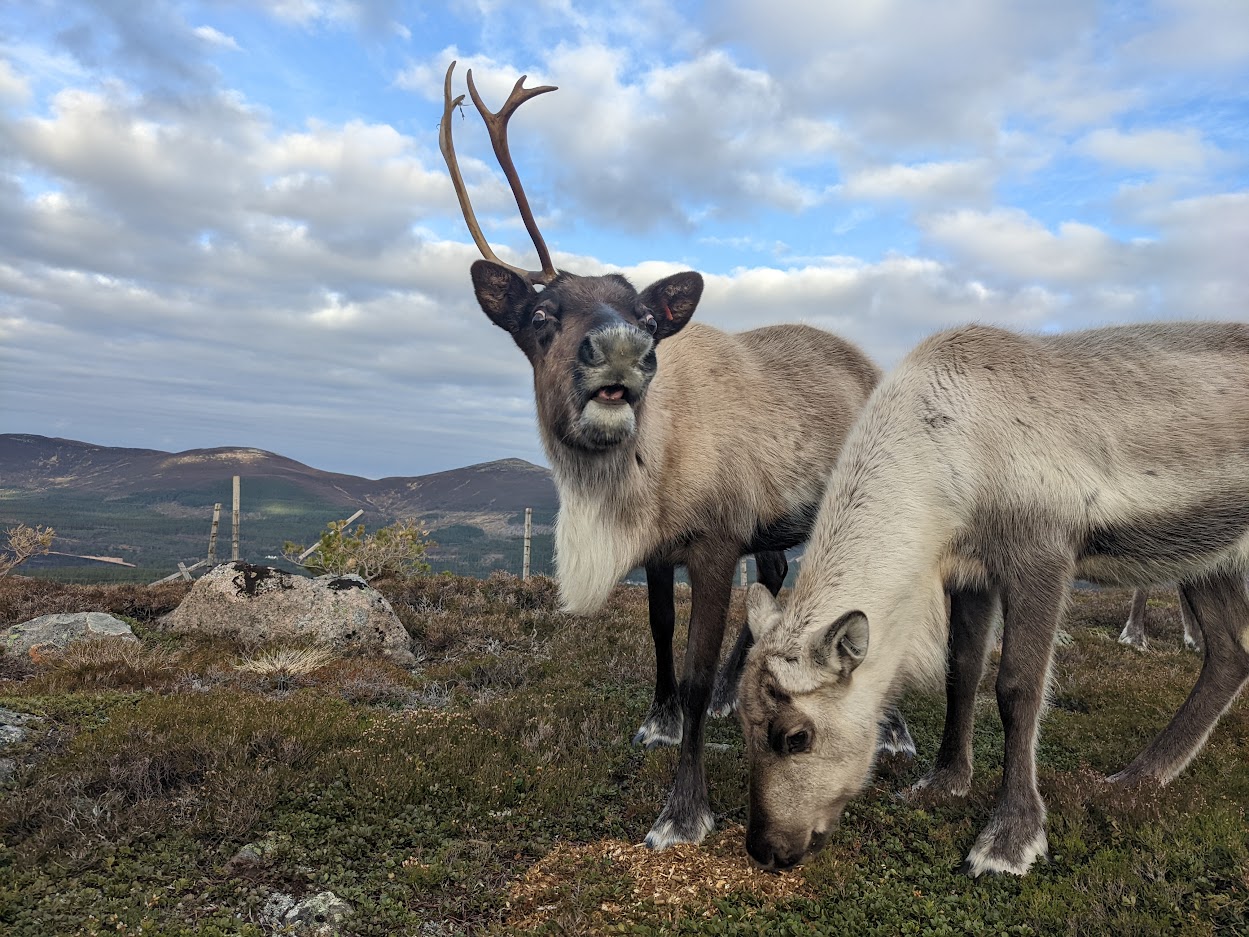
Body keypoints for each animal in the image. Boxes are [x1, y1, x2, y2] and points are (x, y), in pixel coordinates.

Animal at [437, 62, 912, 850]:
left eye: (649, 318)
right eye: (540, 315)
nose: (623, 348)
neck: (641, 479)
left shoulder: (715, 543)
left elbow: (690, 668)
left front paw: (683, 809)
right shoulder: (662, 548)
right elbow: (661, 631)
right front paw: (658, 718)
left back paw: (894, 727)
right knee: (775, 575)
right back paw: (730, 689)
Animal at [736, 320, 1249, 876]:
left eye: (796, 736)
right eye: (741, 723)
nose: (765, 849)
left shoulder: (1041, 555)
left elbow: (1017, 688)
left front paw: (1010, 837)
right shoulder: (971, 574)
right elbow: (961, 670)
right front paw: (944, 782)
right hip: (1208, 558)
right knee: (1230, 654)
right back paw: (1141, 777)